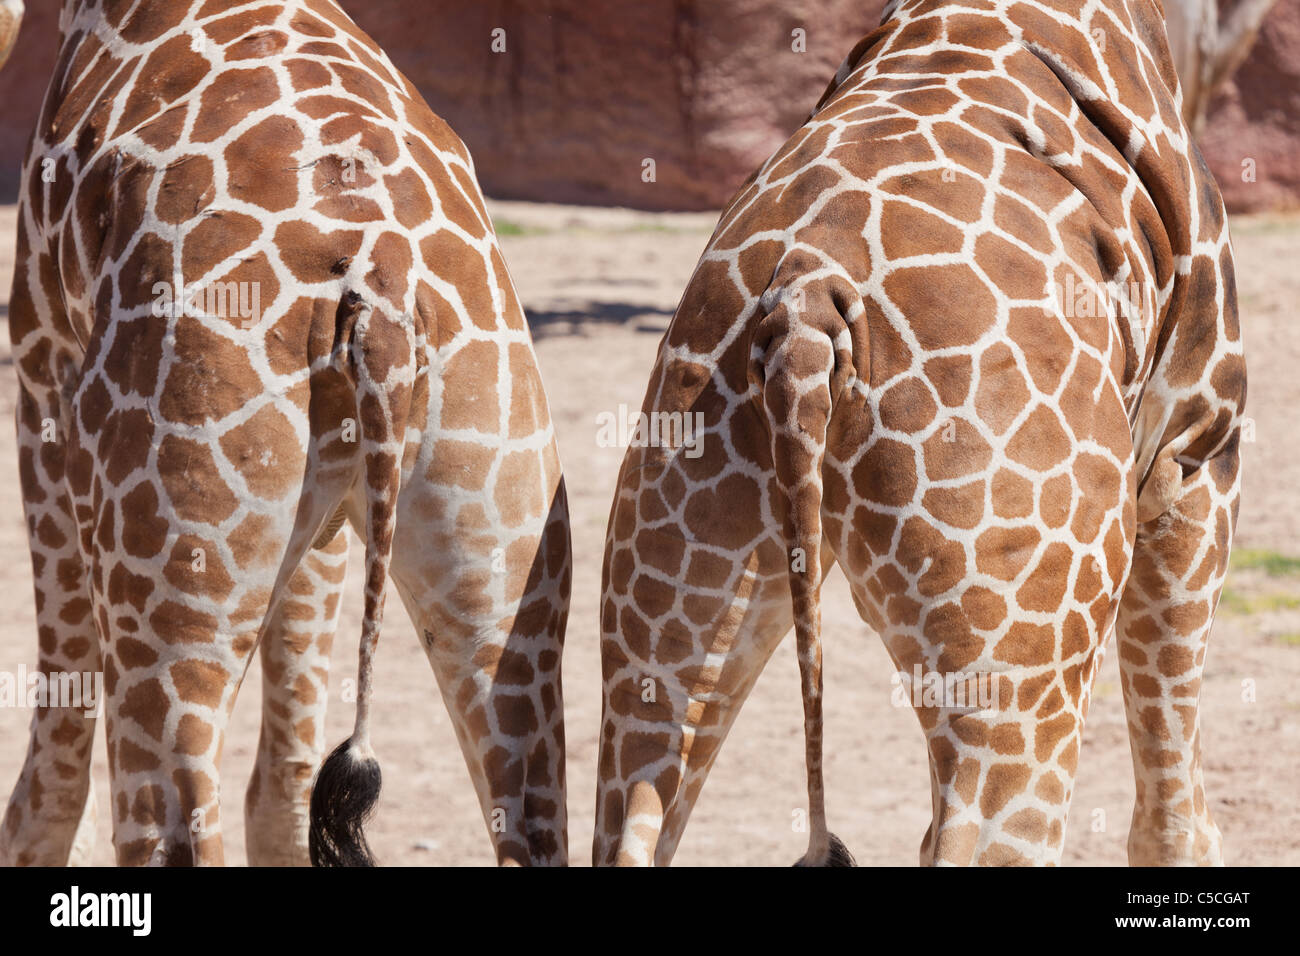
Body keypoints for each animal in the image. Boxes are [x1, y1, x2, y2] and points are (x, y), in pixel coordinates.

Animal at [2, 0, 571, 867]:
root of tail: (382, 298)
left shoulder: (42, 378)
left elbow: (57, 753)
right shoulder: (324, 508)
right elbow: (285, 777)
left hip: (169, 569)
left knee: (168, 814)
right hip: (503, 558)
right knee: (532, 811)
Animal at [594, 0, 1244, 867]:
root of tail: (805, 304)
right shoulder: (1194, 444)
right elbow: (1172, 799)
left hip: (676, 563)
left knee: (637, 804)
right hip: (1024, 648)